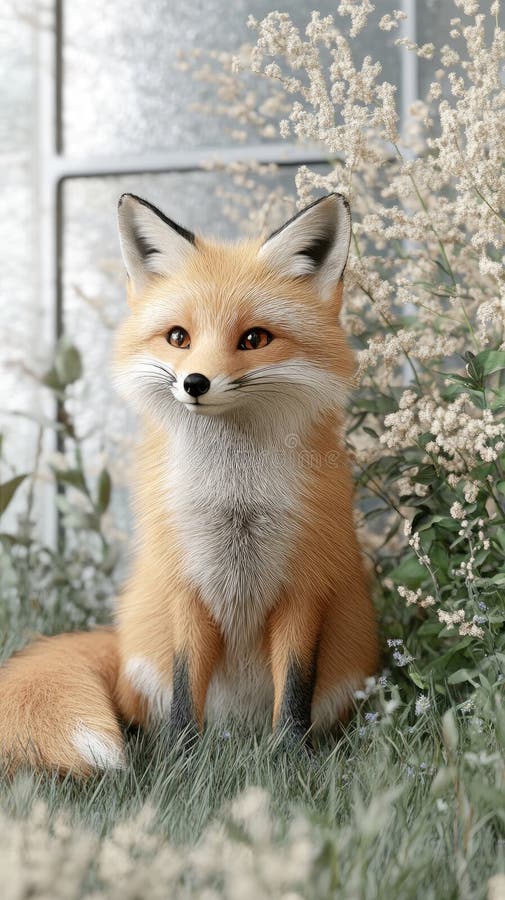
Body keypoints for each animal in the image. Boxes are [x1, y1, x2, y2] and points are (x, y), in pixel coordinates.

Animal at [0, 192, 379, 776]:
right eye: (179, 337)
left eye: (254, 339)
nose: (194, 383)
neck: (234, 497)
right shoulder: (183, 582)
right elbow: (185, 687)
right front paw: (182, 761)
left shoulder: (305, 587)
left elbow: (294, 690)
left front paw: (289, 762)